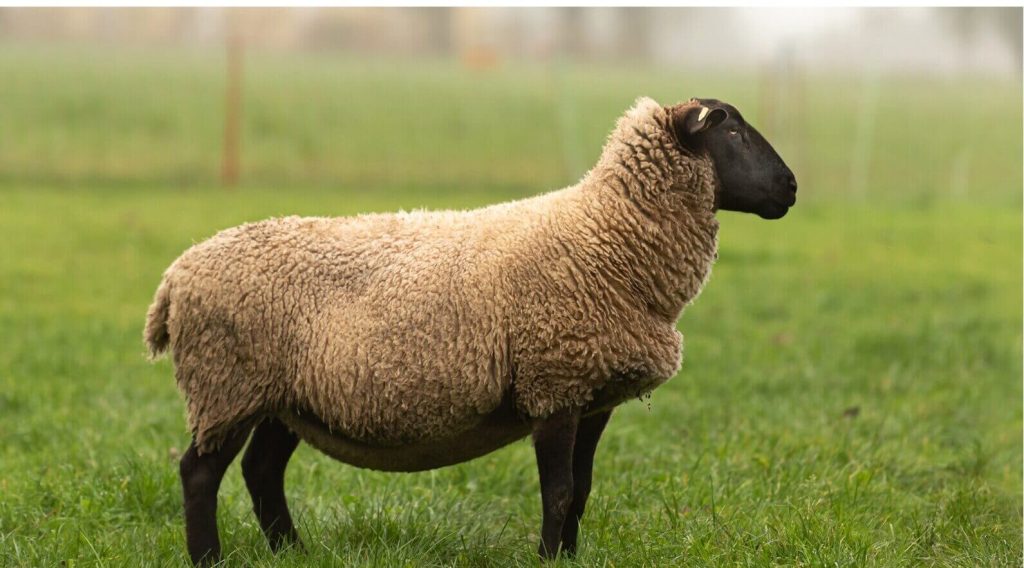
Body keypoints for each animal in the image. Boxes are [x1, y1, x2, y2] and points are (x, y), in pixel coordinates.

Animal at [145, 96, 797, 565]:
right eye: (732, 132)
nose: (791, 188)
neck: (604, 237)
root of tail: (176, 276)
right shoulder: (553, 382)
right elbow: (560, 492)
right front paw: (548, 559)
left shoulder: (594, 395)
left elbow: (582, 491)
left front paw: (568, 557)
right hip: (227, 384)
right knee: (199, 474)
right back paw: (209, 559)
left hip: (282, 397)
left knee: (261, 472)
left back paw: (292, 552)